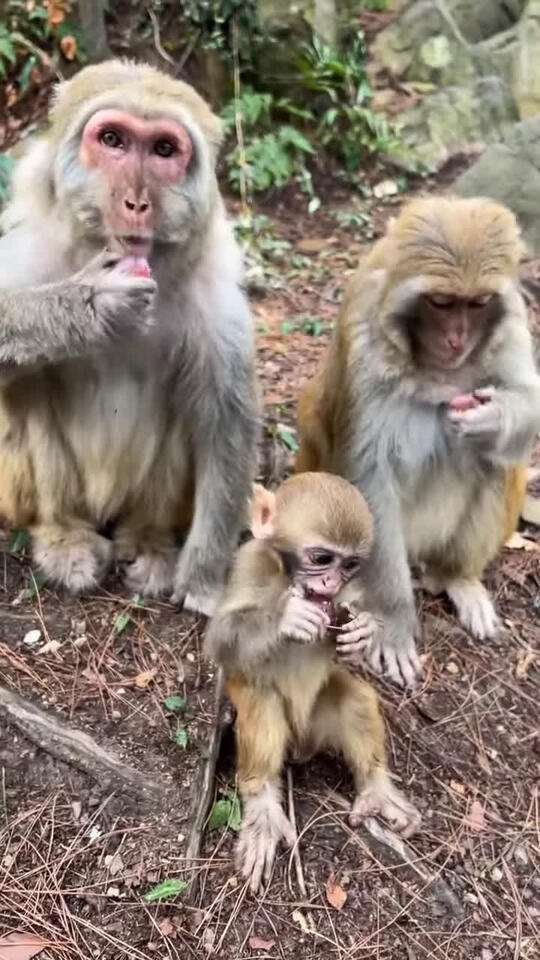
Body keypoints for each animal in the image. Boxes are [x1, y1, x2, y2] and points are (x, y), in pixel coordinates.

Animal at [0, 60, 258, 614]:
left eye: (163, 149)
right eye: (113, 140)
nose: (136, 202)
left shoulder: (214, 285)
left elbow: (224, 419)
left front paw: (203, 577)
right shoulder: (29, 246)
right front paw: (93, 307)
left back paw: (148, 541)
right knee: (28, 393)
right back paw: (64, 535)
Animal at [205, 472, 421, 893]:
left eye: (350, 564)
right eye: (321, 558)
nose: (332, 581)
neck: (287, 578)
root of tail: (302, 746)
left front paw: (363, 633)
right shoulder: (250, 563)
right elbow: (220, 640)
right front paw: (286, 618)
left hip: (319, 723)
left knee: (354, 696)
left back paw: (376, 789)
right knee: (261, 700)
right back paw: (262, 805)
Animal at [296, 197, 540, 687]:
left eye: (478, 303)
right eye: (442, 303)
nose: (457, 339)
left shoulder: (513, 320)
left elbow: (530, 400)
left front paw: (492, 416)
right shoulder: (365, 337)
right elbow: (370, 479)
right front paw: (392, 625)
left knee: (499, 462)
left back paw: (458, 577)